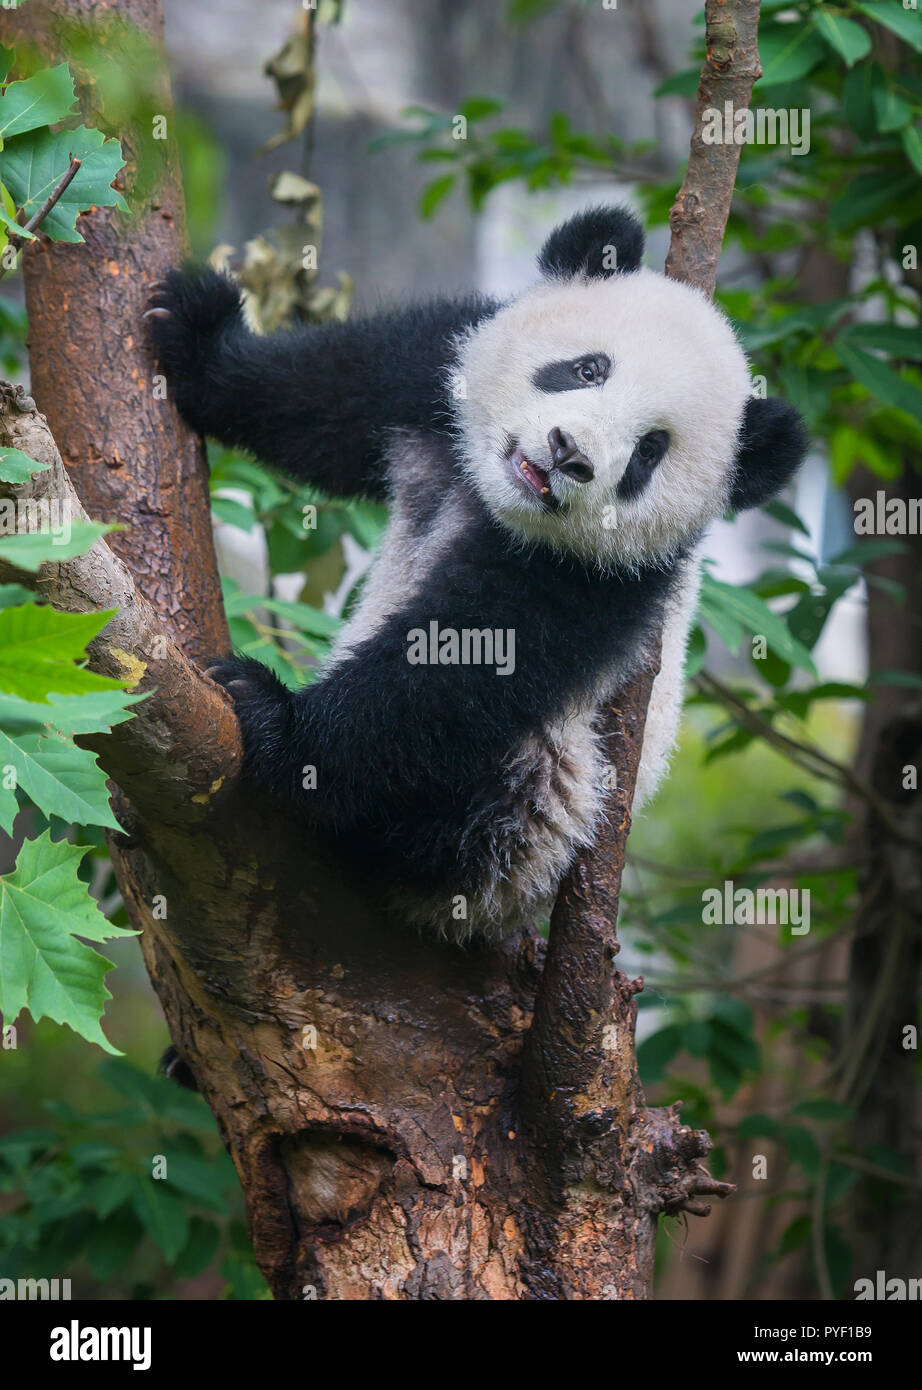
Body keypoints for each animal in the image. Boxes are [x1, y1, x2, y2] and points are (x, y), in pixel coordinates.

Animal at [145, 205, 807, 941]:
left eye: (649, 452)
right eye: (587, 368)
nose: (568, 454)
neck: (494, 501)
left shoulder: (606, 580)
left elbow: (461, 663)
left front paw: (276, 719)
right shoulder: (436, 367)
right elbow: (323, 396)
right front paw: (198, 338)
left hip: (528, 814)